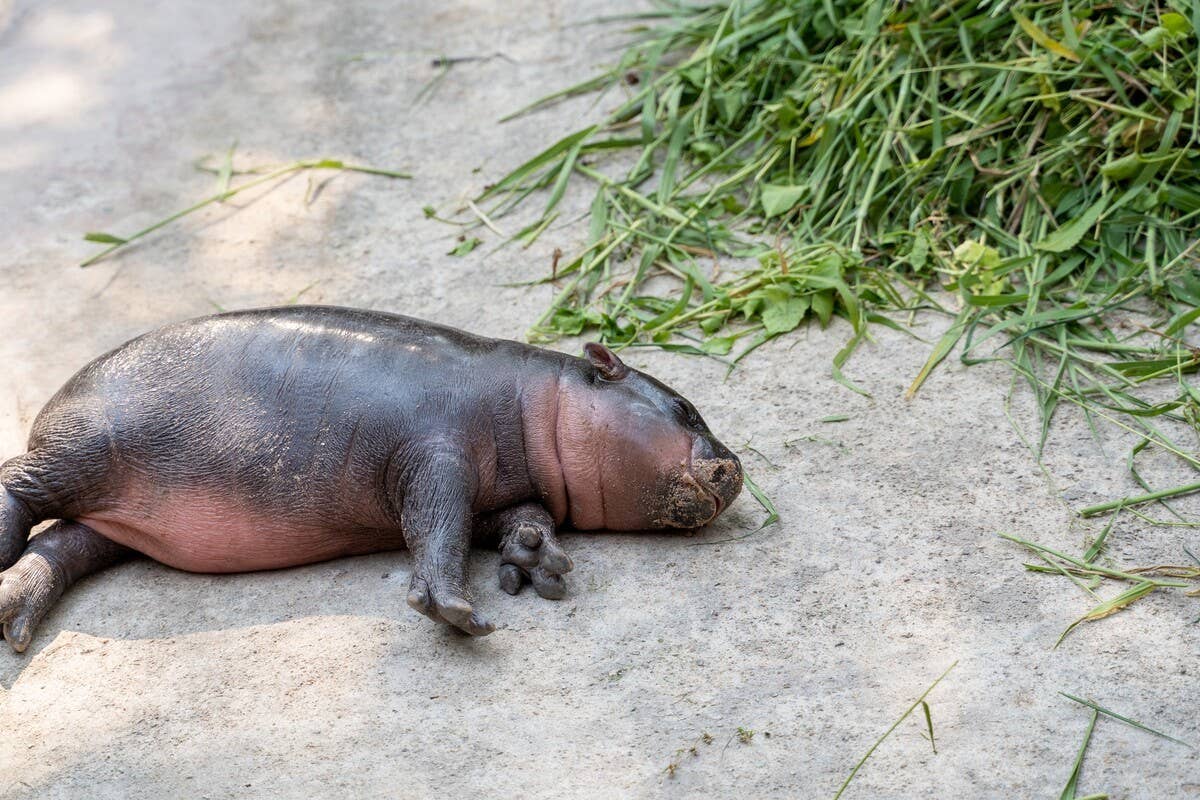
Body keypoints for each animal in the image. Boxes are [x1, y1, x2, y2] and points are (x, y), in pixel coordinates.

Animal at [0, 306, 743, 651]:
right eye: (684, 408)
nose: (735, 465)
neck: (543, 397)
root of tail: (62, 391)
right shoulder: (436, 460)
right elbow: (436, 529)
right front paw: (458, 614)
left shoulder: (504, 495)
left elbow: (520, 519)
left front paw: (535, 563)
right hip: (82, 453)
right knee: (19, 484)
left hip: (117, 516)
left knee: (62, 545)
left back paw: (13, 616)